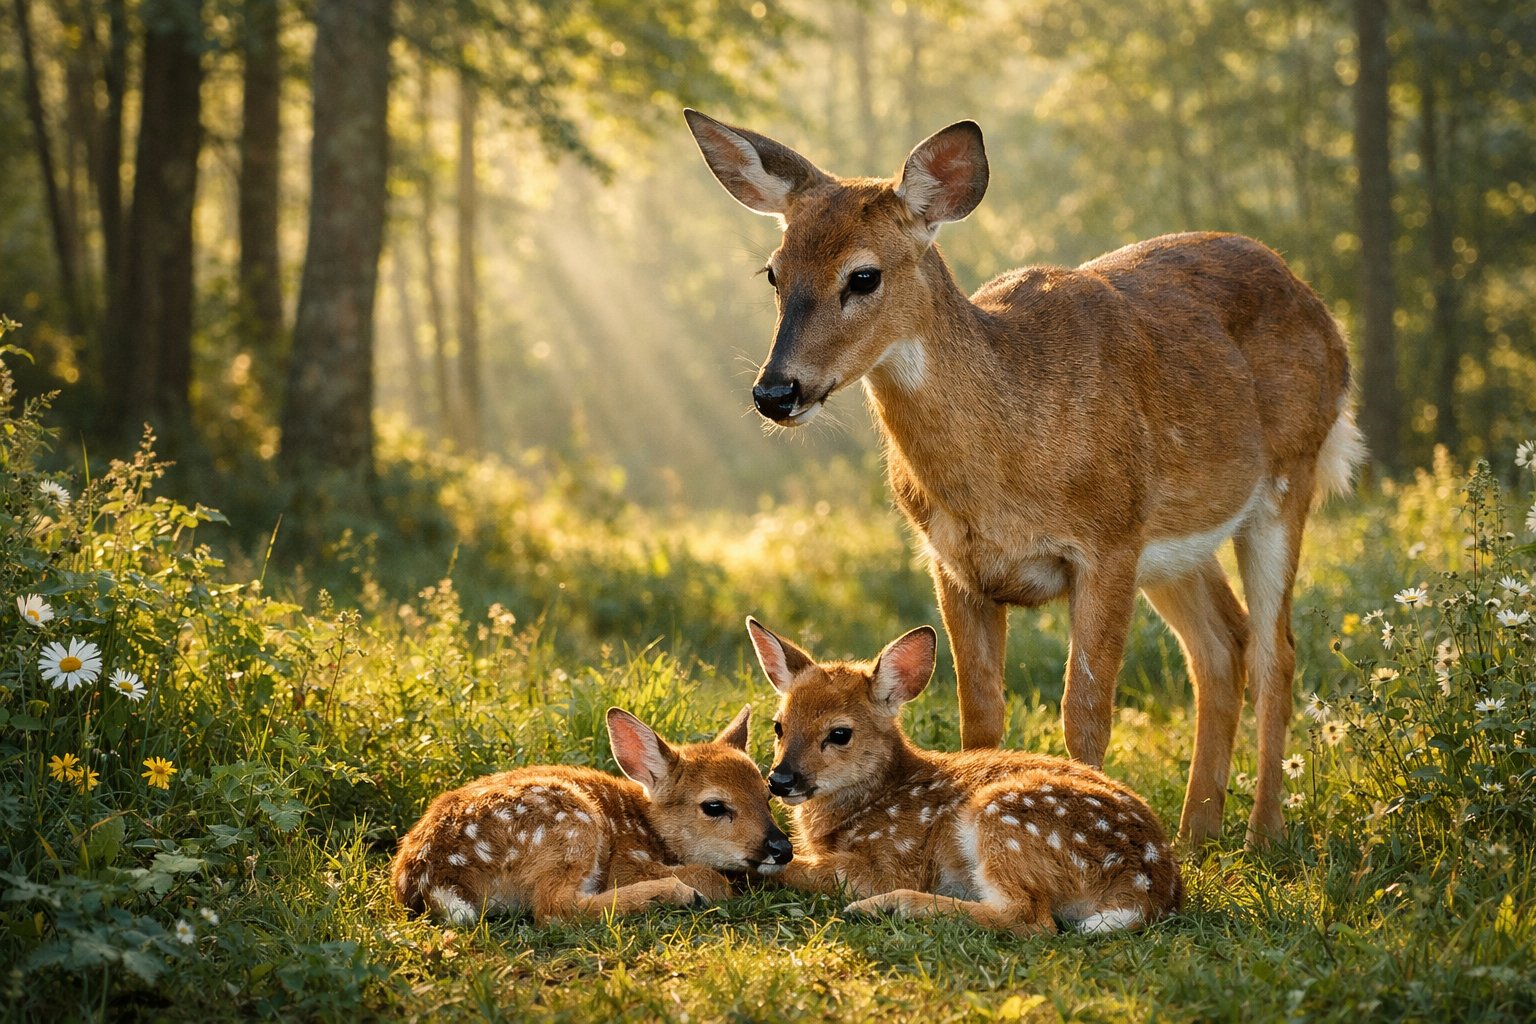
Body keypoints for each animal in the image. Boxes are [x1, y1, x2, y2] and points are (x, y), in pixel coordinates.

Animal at [391, 706, 792, 926]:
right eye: (714, 806)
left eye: (767, 795)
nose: (782, 848)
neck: (649, 830)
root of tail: (430, 877)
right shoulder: (626, 863)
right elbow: (713, 877)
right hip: (570, 822)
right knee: (554, 909)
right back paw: (672, 894)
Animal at [685, 109, 1364, 847]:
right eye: (773, 272)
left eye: (863, 276)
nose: (775, 392)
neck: (1001, 465)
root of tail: (1324, 315)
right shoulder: (953, 562)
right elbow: (981, 718)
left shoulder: (1105, 541)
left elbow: (1085, 712)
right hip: (1175, 539)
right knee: (1222, 645)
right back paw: (1196, 833)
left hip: (1285, 479)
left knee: (1277, 651)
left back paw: (1262, 834)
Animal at [746, 618, 1182, 934]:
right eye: (778, 726)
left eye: (839, 733)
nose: (780, 780)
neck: (875, 798)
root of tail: (1144, 890)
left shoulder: (889, 862)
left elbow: (796, 868)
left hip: (1002, 815)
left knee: (1031, 920)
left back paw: (888, 906)